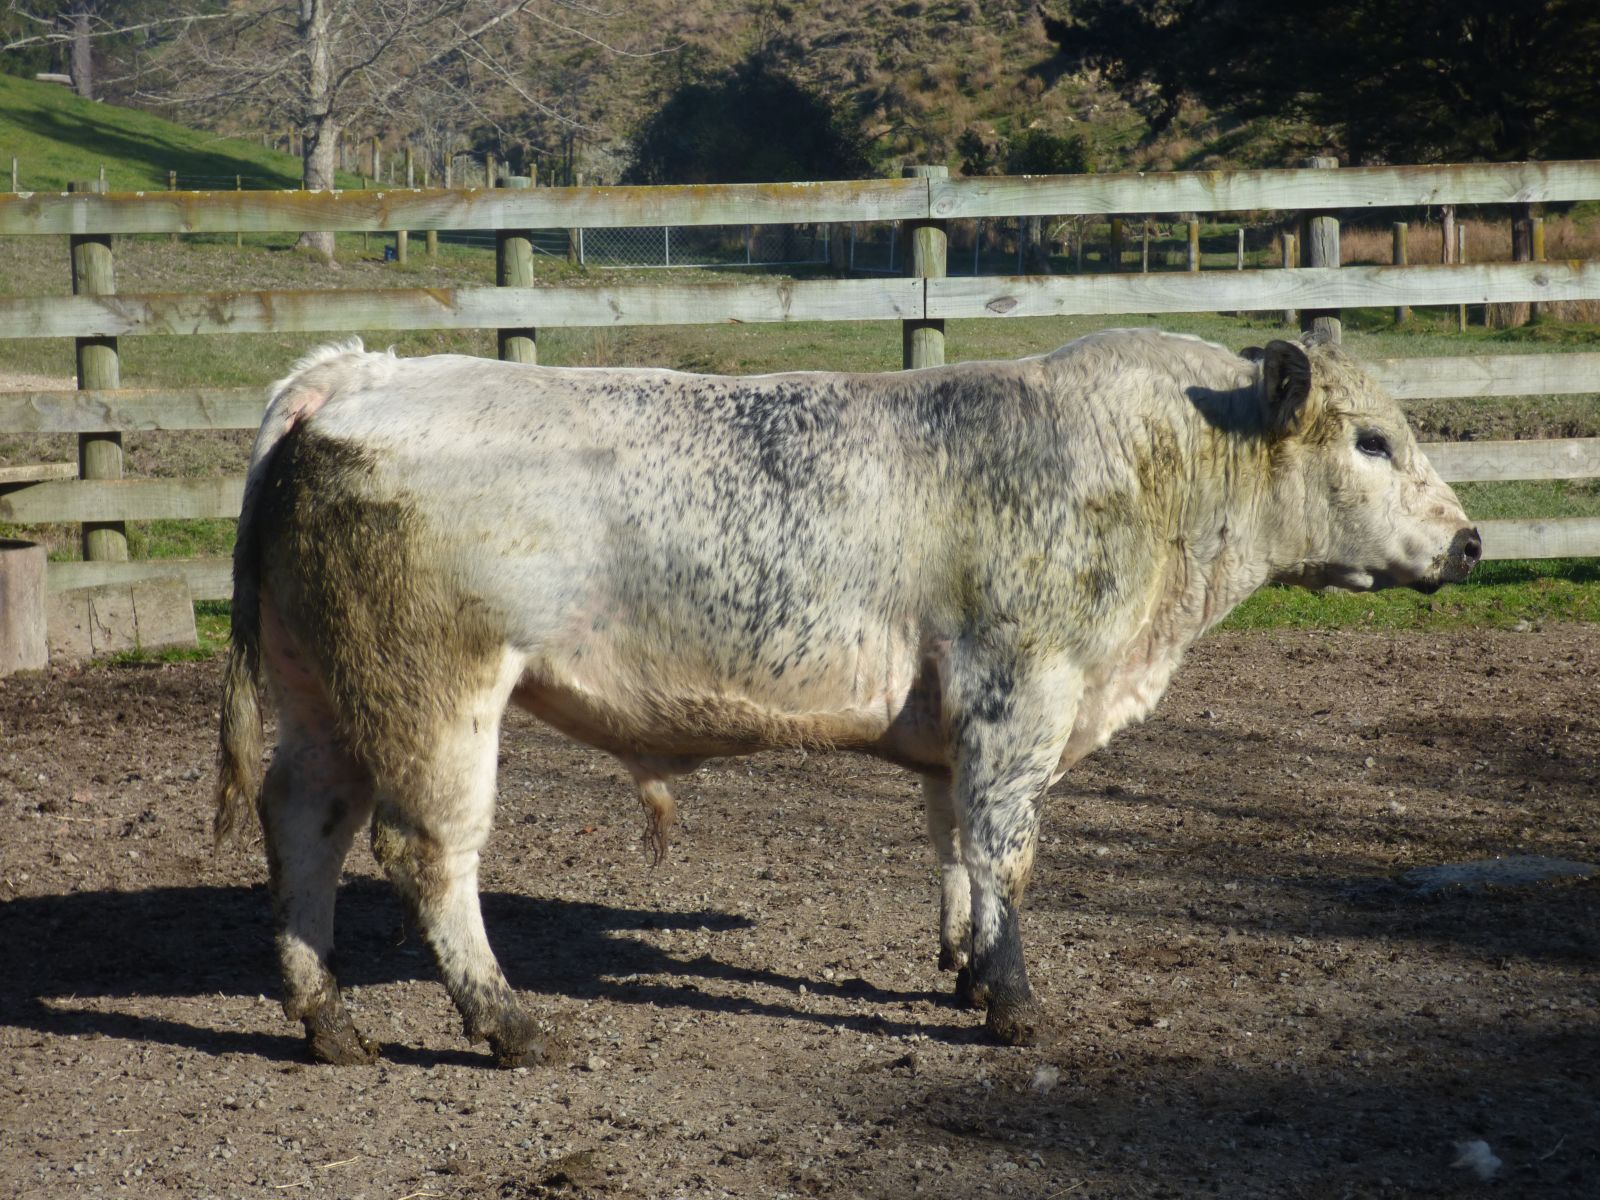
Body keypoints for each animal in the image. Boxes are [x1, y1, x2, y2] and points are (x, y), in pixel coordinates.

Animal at [214, 328, 1481, 1067]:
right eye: (1371, 440)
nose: (1468, 540)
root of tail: (365, 372)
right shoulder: (1022, 690)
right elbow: (1007, 854)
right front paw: (1013, 1005)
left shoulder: (961, 723)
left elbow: (956, 847)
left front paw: (963, 969)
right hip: (433, 692)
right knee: (428, 852)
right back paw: (509, 1023)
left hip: (324, 695)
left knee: (305, 826)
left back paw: (329, 1019)